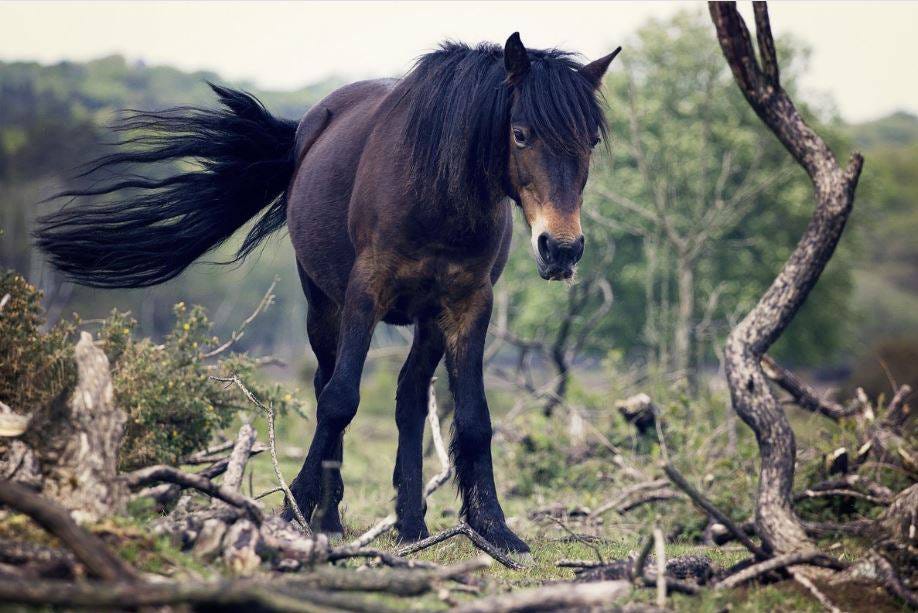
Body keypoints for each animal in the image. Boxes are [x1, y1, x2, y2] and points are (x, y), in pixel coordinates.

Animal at [36, 33, 619, 554]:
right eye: (520, 133)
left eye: (590, 141)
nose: (561, 249)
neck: (437, 193)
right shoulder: (365, 293)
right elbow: (339, 400)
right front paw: (293, 508)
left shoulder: (469, 304)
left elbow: (474, 419)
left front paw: (495, 529)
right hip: (324, 304)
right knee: (326, 384)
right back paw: (330, 517)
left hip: (427, 320)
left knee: (409, 398)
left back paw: (411, 524)